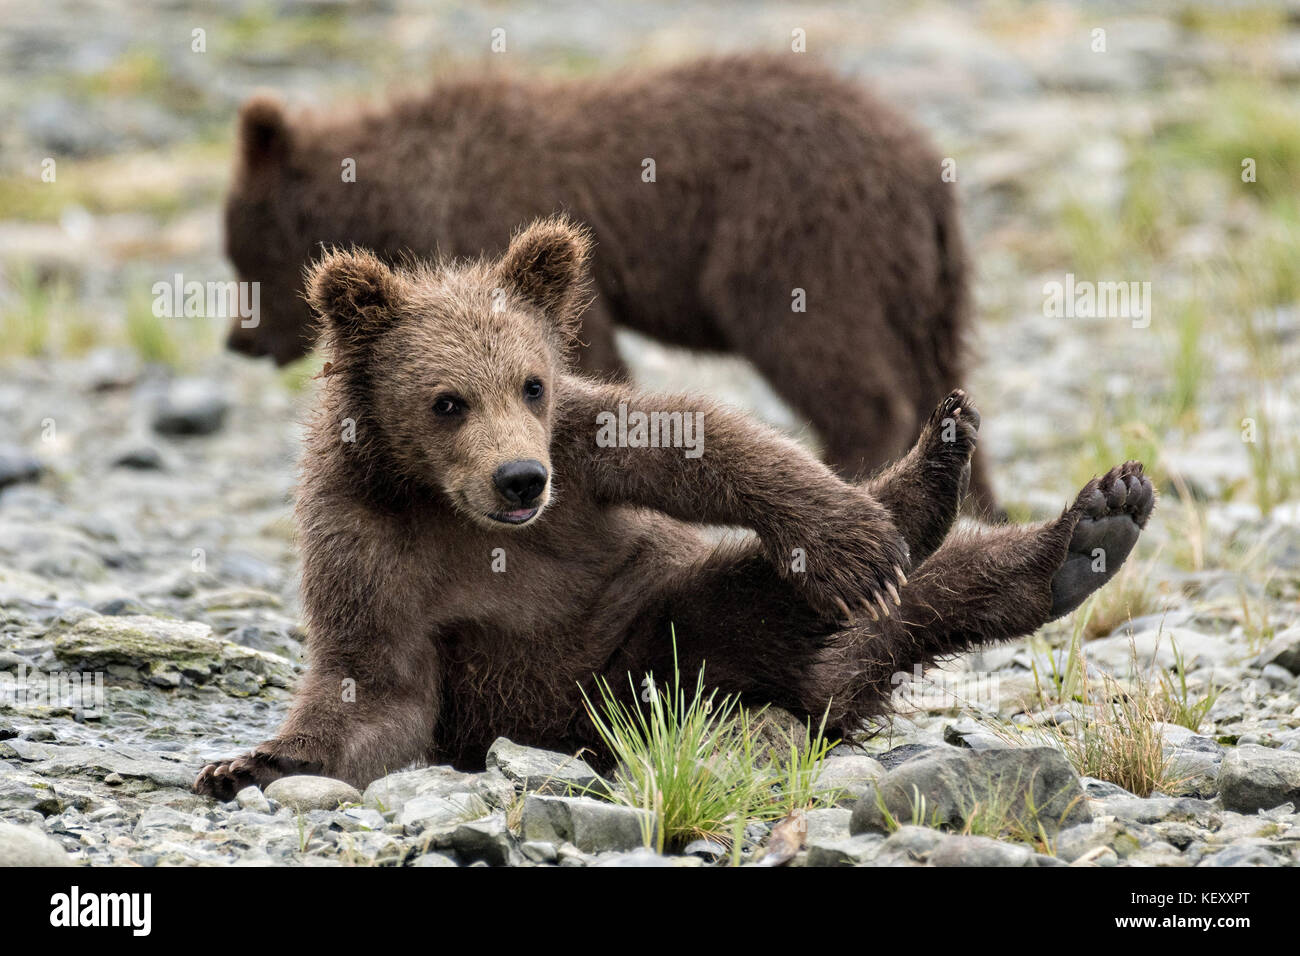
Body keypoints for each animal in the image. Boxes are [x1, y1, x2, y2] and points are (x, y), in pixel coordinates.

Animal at [193, 216, 1155, 799]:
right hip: (628, 673)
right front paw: (250, 763)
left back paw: (1063, 517)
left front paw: (845, 535)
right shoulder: (365, 538)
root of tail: (820, 698)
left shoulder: (582, 453)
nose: (519, 479)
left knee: (863, 589)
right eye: (447, 400)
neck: (442, 501)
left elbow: (704, 441)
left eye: (530, 382)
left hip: (644, 610)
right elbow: (373, 685)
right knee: (767, 611)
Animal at [222, 54, 1001, 518]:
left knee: (830, 359)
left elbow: (583, 355)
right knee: (938, 369)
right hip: (922, 284)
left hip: (795, 239)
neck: (412, 194)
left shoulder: (521, 234)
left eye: (241, 257)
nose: (238, 339)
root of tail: (922, 169)